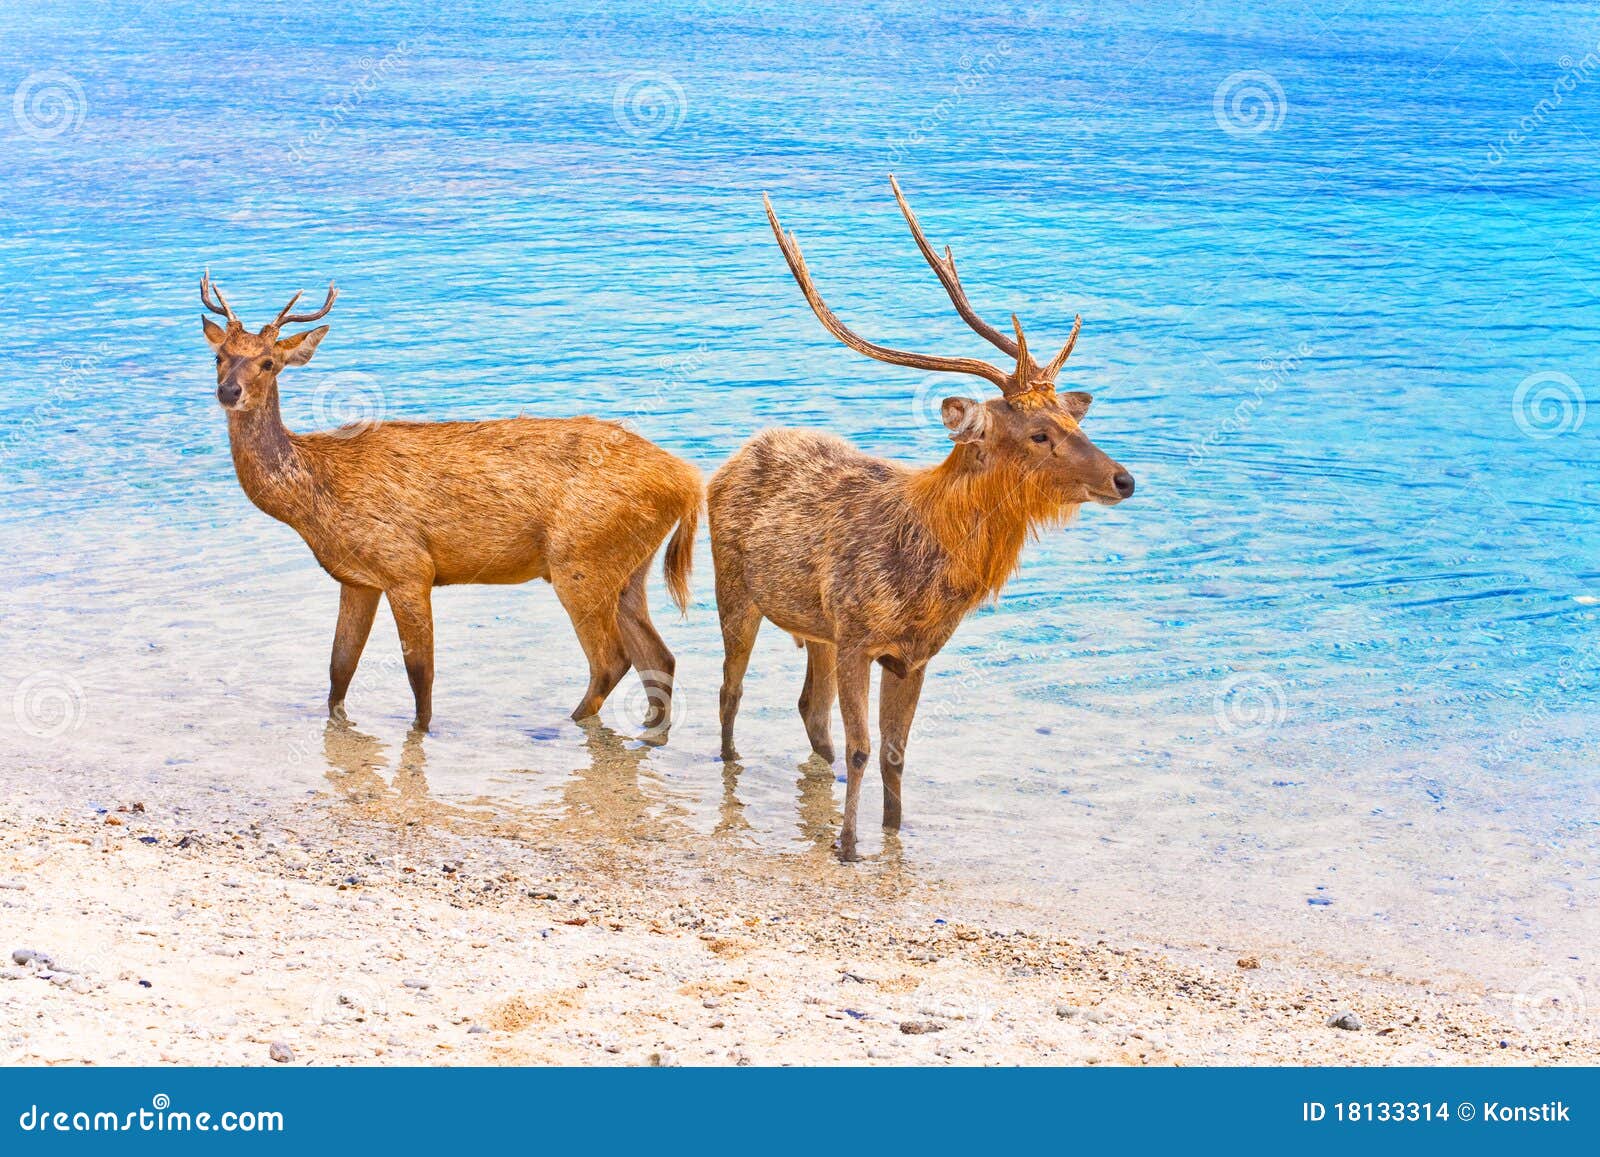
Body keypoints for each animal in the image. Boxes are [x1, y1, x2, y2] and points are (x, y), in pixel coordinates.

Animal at [199, 274, 701, 737]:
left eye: (269, 362)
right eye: (219, 355)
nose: (228, 392)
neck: (315, 499)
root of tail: (687, 480)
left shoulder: (407, 567)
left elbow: (420, 673)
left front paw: (421, 732)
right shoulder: (357, 579)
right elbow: (339, 669)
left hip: (581, 559)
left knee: (611, 659)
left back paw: (563, 724)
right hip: (626, 568)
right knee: (660, 657)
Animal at [709, 178, 1136, 858]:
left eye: (1074, 421)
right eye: (1039, 433)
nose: (1124, 479)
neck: (924, 581)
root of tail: (733, 457)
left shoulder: (912, 654)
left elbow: (895, 754)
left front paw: (890, 834)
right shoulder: (857, 634)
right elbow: (863, 749)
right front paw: (848, 847)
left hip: (814, 628)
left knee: (808, 709)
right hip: (736, 591)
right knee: (731, 690)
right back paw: (729, 768)